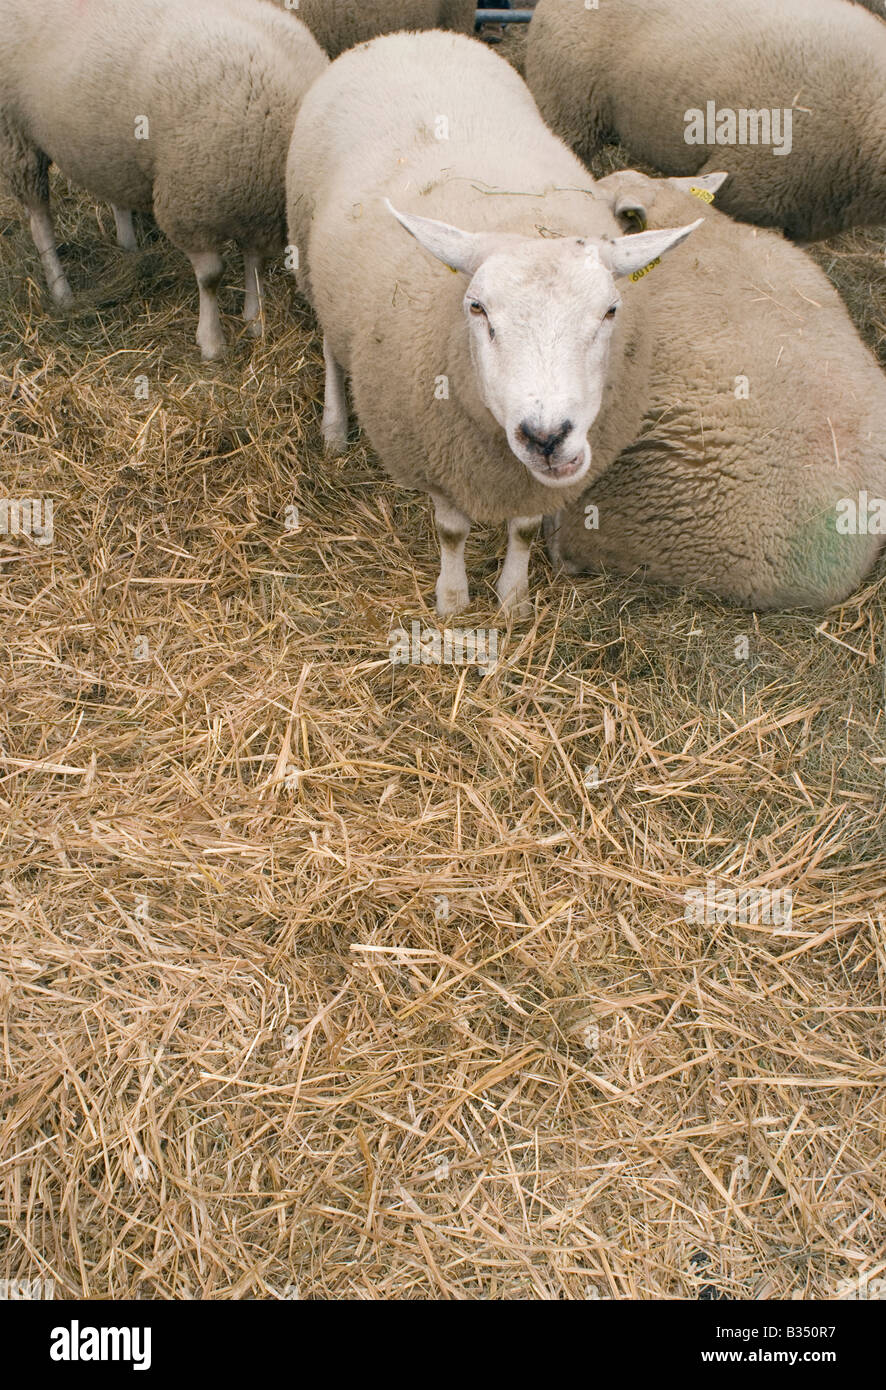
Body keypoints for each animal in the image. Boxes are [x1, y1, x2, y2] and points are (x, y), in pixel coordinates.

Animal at [0, 0, 327, 357]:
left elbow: (255, 263)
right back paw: (61, 290)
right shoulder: (190, 208)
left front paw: (255, 320)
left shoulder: (254, 206)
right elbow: (211, 277)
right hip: (17, 135)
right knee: (39, 220)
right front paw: (211, 342)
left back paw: (128, 245)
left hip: (107, 147)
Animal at [285, 31, 702, 617]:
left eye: (610, 311)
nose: (546, 437)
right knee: (329, 348)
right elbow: (451, 532)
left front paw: (513, 600)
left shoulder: (527, 482)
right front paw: (453, 600)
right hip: (312, 262)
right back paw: (334, 428)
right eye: (477, 308)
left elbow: (523, 531)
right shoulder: (435, 456)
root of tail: (408, 36)